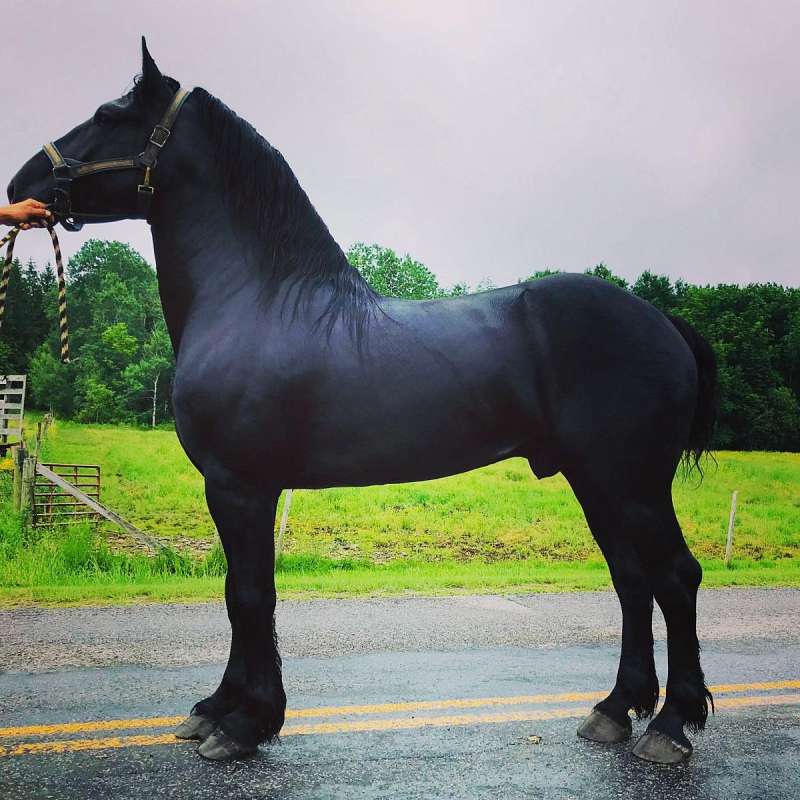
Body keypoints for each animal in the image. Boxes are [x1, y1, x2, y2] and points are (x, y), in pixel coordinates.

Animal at [9, 38, 716, 765]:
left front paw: (244, 722)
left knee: (675, 577)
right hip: (595, 481)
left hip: (631, 482)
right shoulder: (237, 490)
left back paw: (669, 725)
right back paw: (615, 709)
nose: (19, 186)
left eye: (107, 114)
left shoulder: (239, 486)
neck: (257, 300)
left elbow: (250, 595)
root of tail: (662, 321)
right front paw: (218, 710)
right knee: (631, 580)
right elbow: (239, 594)